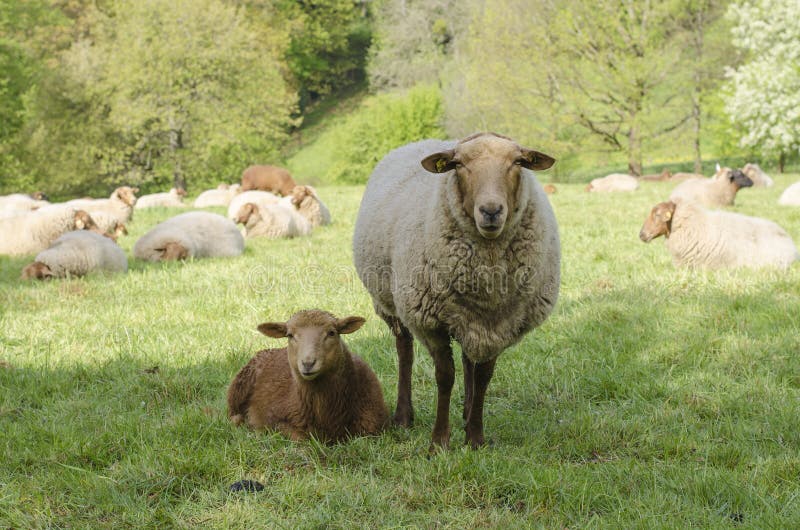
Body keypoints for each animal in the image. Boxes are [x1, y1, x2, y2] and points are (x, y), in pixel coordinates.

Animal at [227, 309, 388, 443]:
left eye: (331, 333)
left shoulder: (373, 425)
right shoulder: (278, 421)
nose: (308, 363)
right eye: (290, 335)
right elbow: (302, 437)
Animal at [352, 132, 560, 450]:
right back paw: (404, 415)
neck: (488, 274)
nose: (490, 211)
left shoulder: (499, 326)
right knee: (405, 352)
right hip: (391, 303)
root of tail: (420, 141)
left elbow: (484, 376)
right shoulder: (430, 322)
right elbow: (444, 376)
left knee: (467, 359)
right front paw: (439, 441)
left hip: (467, 317)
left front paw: (475, 436)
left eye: (517, 162)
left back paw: (466, 409)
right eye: (459, 164)